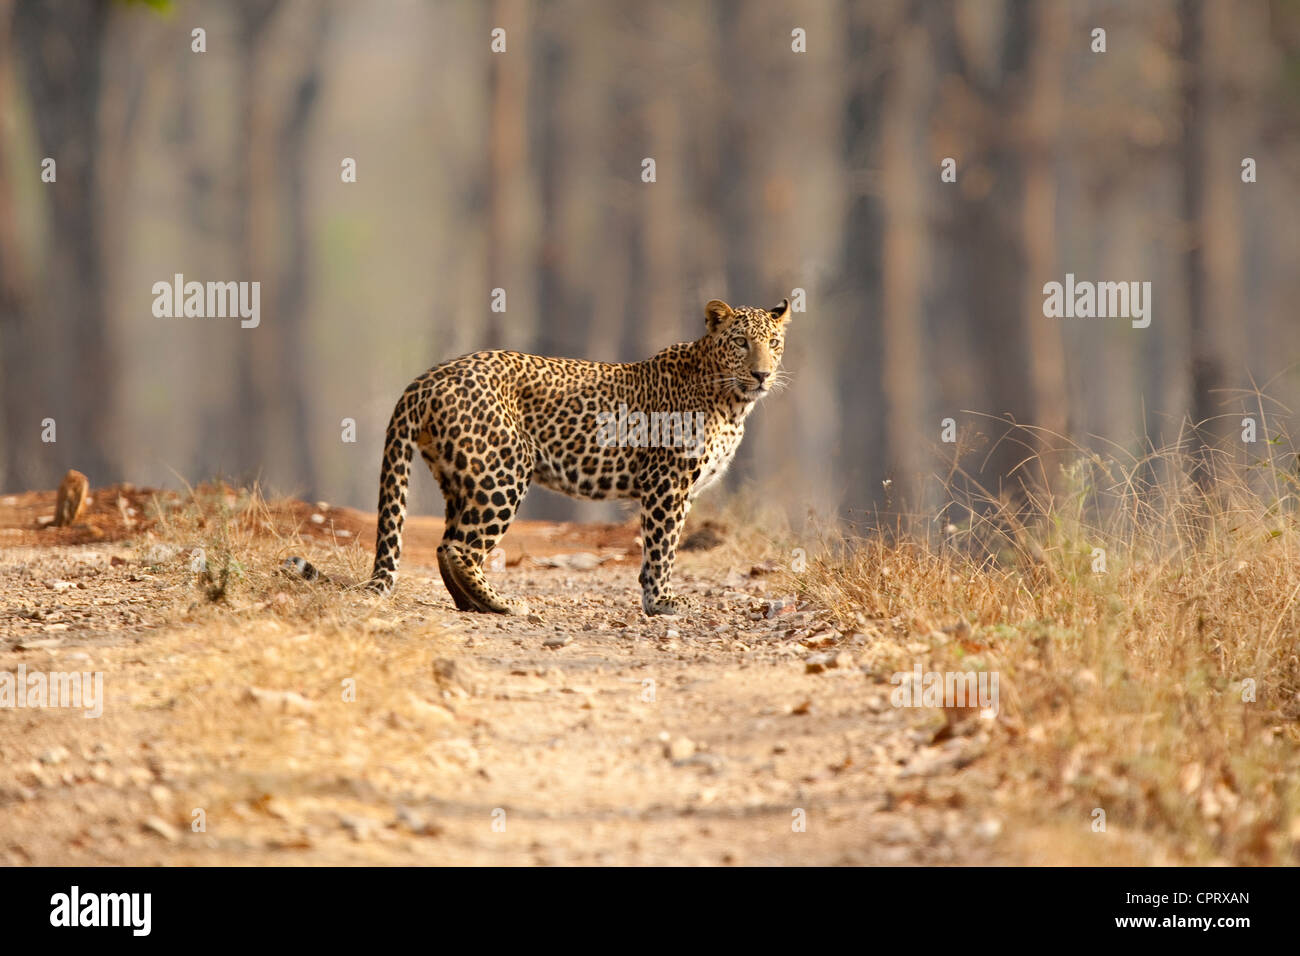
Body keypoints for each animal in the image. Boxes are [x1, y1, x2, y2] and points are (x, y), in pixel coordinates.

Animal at [365, 295, 793, 616]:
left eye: (773, 343)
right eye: (741, 343)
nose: (762, 375)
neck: (731, 402)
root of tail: (429, 377)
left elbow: (659, 547)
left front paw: (654, 598)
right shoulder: (667, 482)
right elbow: (662, 546)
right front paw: (662, 602)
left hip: (461, 477)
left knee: (445, 545)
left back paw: (472, 604)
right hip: (503, 471)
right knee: (460, 548)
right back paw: (503, 604)